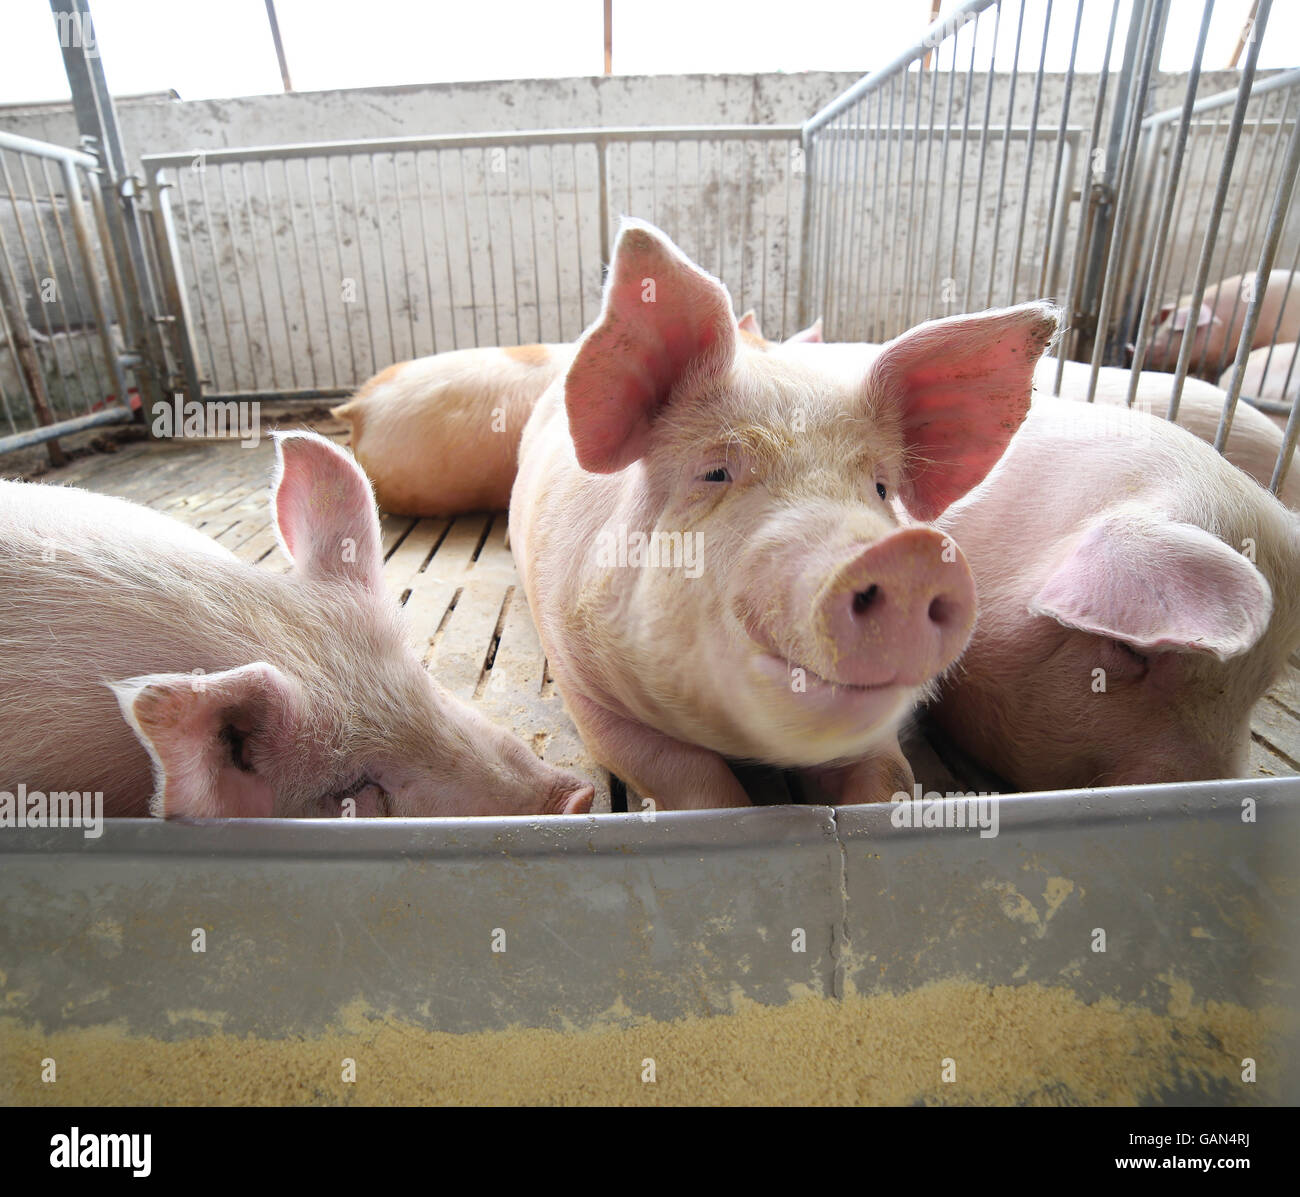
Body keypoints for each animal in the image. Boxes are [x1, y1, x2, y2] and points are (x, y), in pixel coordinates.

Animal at [509, 218, 1059, 809]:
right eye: (715, 472)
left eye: (881, 488)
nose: (907, 558)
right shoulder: (582, 683)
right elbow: (691, 779)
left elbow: (890, 779)